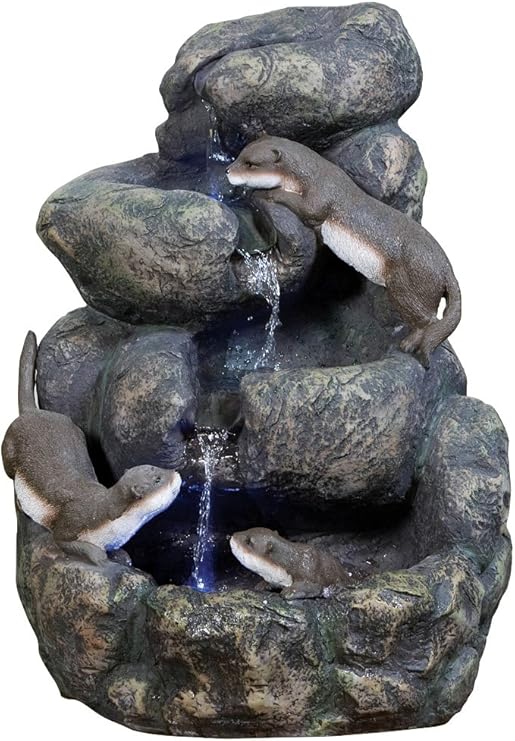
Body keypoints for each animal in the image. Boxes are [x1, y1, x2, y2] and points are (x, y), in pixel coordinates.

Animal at [2, 331, 182, 565]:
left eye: (157, 467)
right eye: (158, 479)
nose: (175, 473)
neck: (105, 522)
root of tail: (33, 412)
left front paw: (122, 555)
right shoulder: (73, 520)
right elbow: (63, 539)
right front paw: (99, 555)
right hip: (8, 447)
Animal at [226, 135, 461, 367]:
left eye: (250, 164)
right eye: (239, 155)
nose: (228, 171)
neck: (315, 176)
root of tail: (446, 271)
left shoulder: (321, 196)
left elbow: (307, 208)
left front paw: (266, 193)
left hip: (407, 286)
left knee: (429, 320)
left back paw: (409, 344)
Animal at [230, 527, 361, 599]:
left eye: (248, 541)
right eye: (246, 529)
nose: (233, 537)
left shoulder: (309, 571)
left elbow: (315, 587)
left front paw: (289, 591)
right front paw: (262, 584)